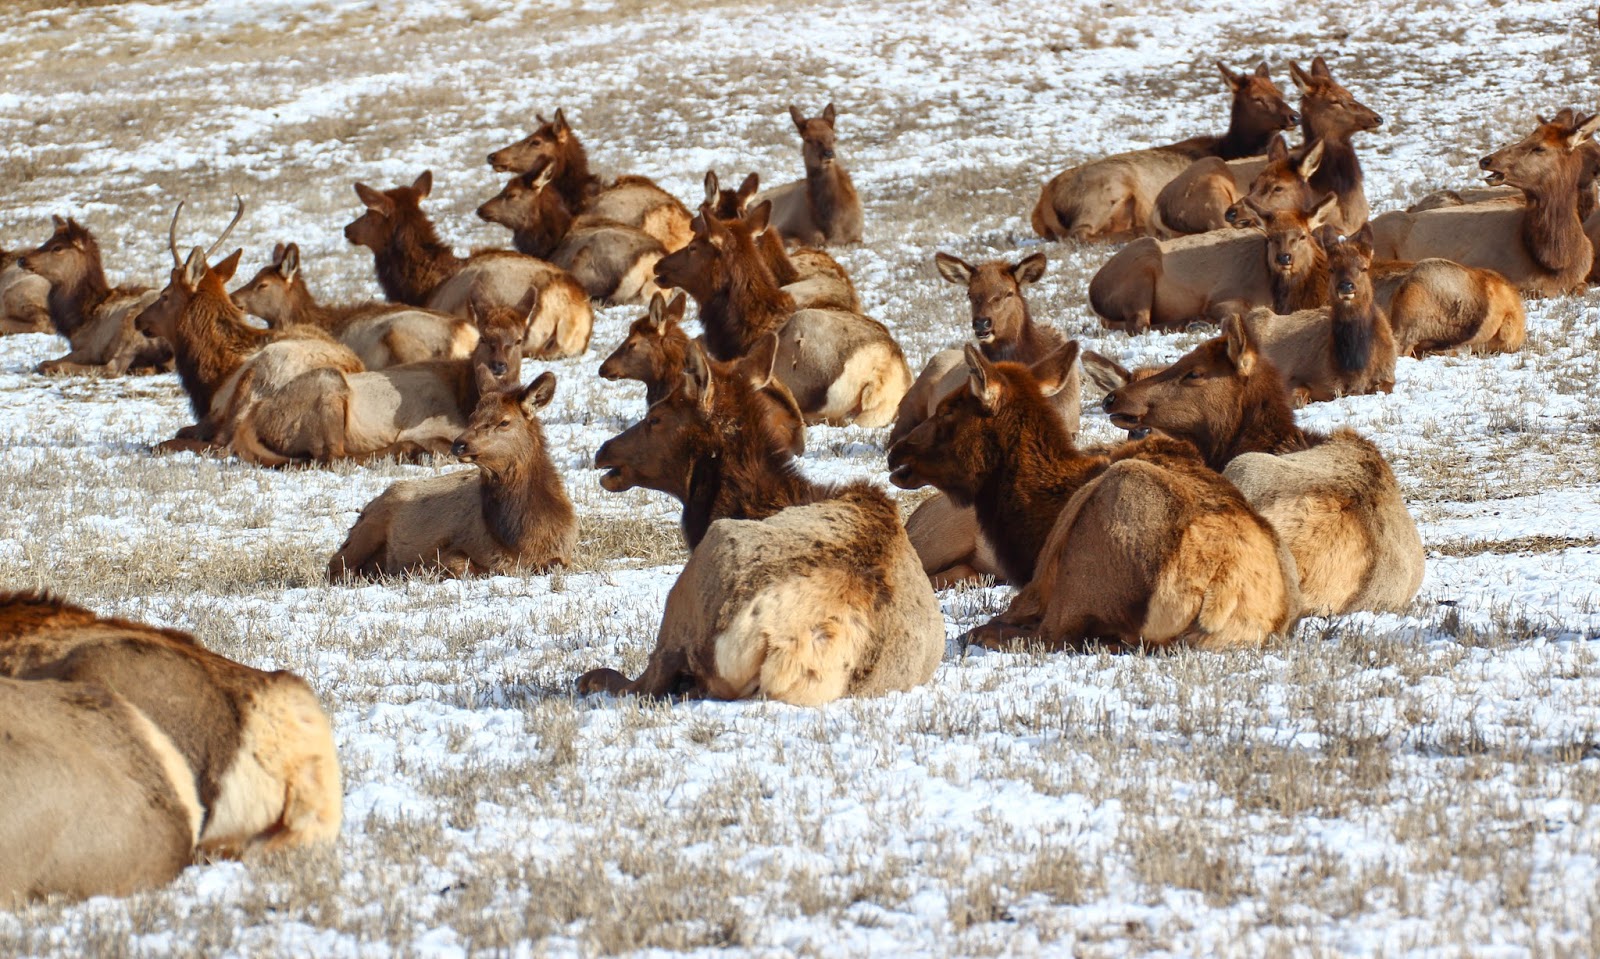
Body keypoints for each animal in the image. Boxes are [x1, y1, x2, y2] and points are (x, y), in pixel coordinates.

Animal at [18, 215, 171, 376]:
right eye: (48, 240)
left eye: (58, 247)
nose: (22, 259)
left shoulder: (91, 348)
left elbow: (44, 363)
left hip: (133, 325)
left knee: (113, 368)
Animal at [329, 373, 576, 580]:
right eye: (472, 415)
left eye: (504, 421)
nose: (459, 444)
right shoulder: (450, 548)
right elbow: (462, 566)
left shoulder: (561, 554)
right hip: (368, 530)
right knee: (336, 565)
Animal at [1031, 62, 1298, 242]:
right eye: (1257, 98)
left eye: (1279, 92)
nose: (1293, 116)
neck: (1229, 148)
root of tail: (1042, 205)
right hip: (1108, 189)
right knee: (1080, 234)